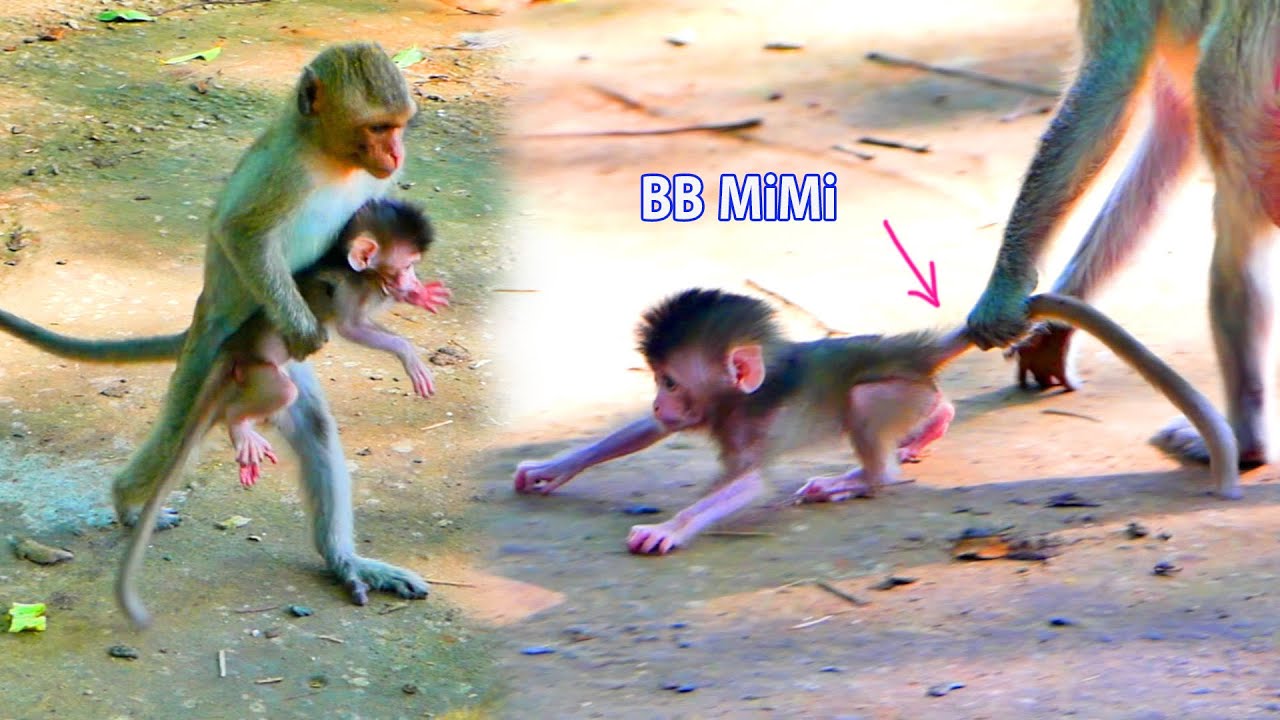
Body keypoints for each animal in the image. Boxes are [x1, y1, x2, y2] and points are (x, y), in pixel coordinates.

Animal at [116, 199, 448, 627]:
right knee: (270, 396)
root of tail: (232, 350)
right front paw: (407, 352)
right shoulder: (349, 293)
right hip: (260, 373)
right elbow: (352, 328)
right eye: (406, 264)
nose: (412, 279)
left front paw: (418, 297)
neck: (352, 271)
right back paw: (237, 427)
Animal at [515, 288, 1237, 556]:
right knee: (930, 404)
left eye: (668, 380)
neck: (739, 399)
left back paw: (864, 479)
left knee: (866, 407)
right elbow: (638, 437)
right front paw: (549, 469)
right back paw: (924, 434)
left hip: (891, 389)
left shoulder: (754, 428)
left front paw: (670, 528)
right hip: (912, 389)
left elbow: (753, 485)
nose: (661, 402)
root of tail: (910, 352)